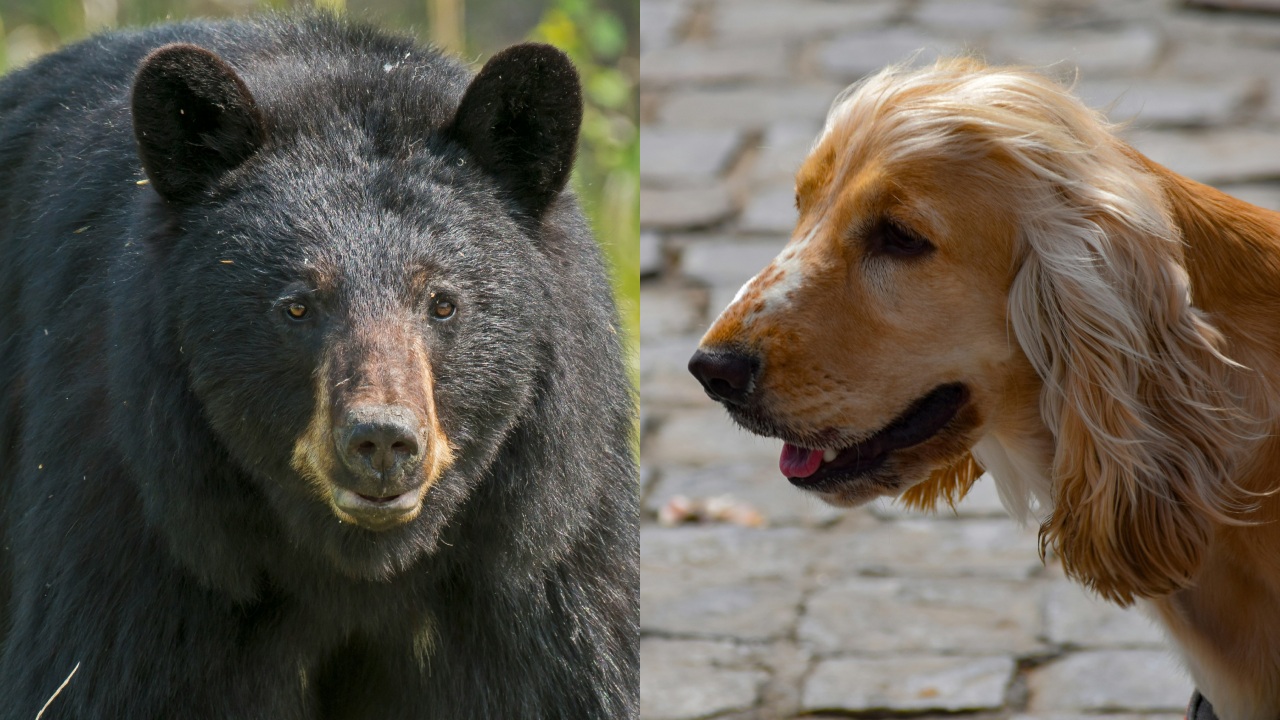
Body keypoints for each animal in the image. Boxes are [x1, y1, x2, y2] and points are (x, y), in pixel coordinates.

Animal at [0, 14, 637, 719]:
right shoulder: (144, 529)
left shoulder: (536, 565)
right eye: (298, 306)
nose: (382, 440)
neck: (359, 566)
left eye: (442, 303)